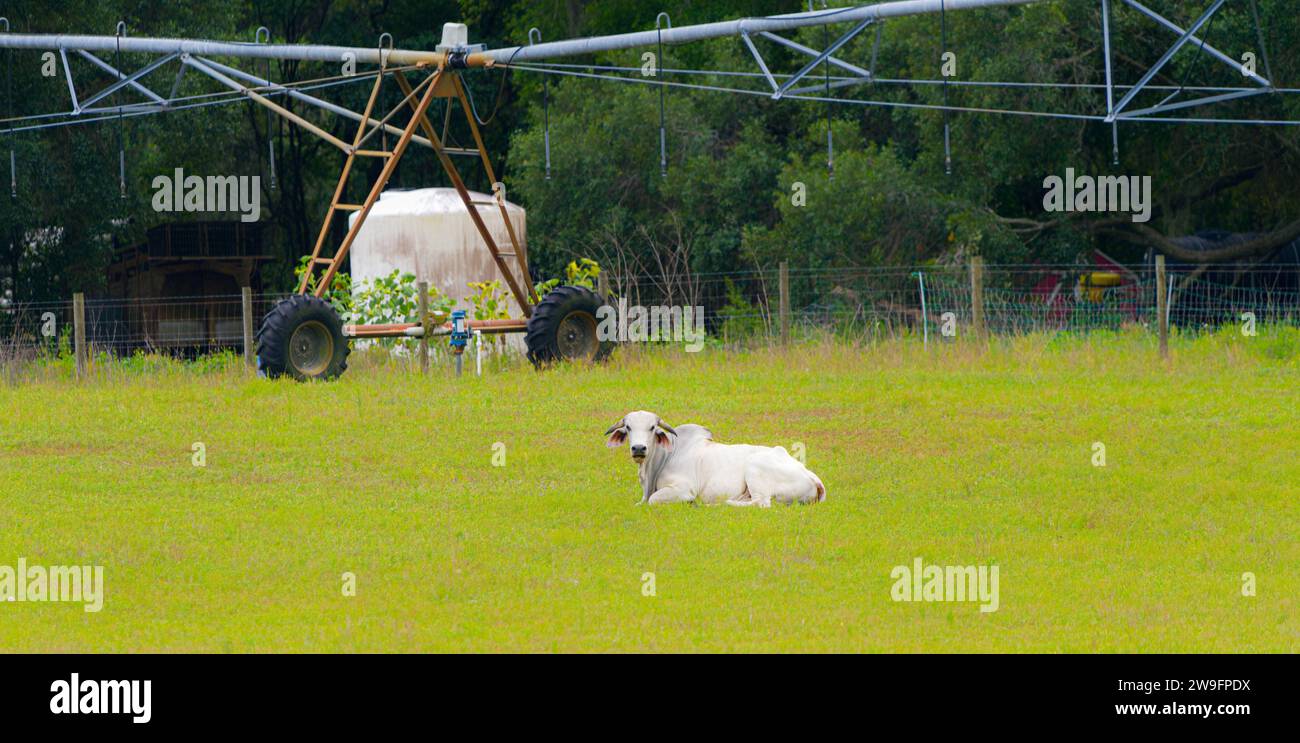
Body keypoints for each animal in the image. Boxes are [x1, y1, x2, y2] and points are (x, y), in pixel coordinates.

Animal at [604, 411, 826, 507]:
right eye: (628, 427)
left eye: (652, 427)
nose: (639, 448)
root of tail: (811, 476)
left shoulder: (683, 489)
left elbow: (653, 500)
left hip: (755, 469)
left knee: (762, 503)